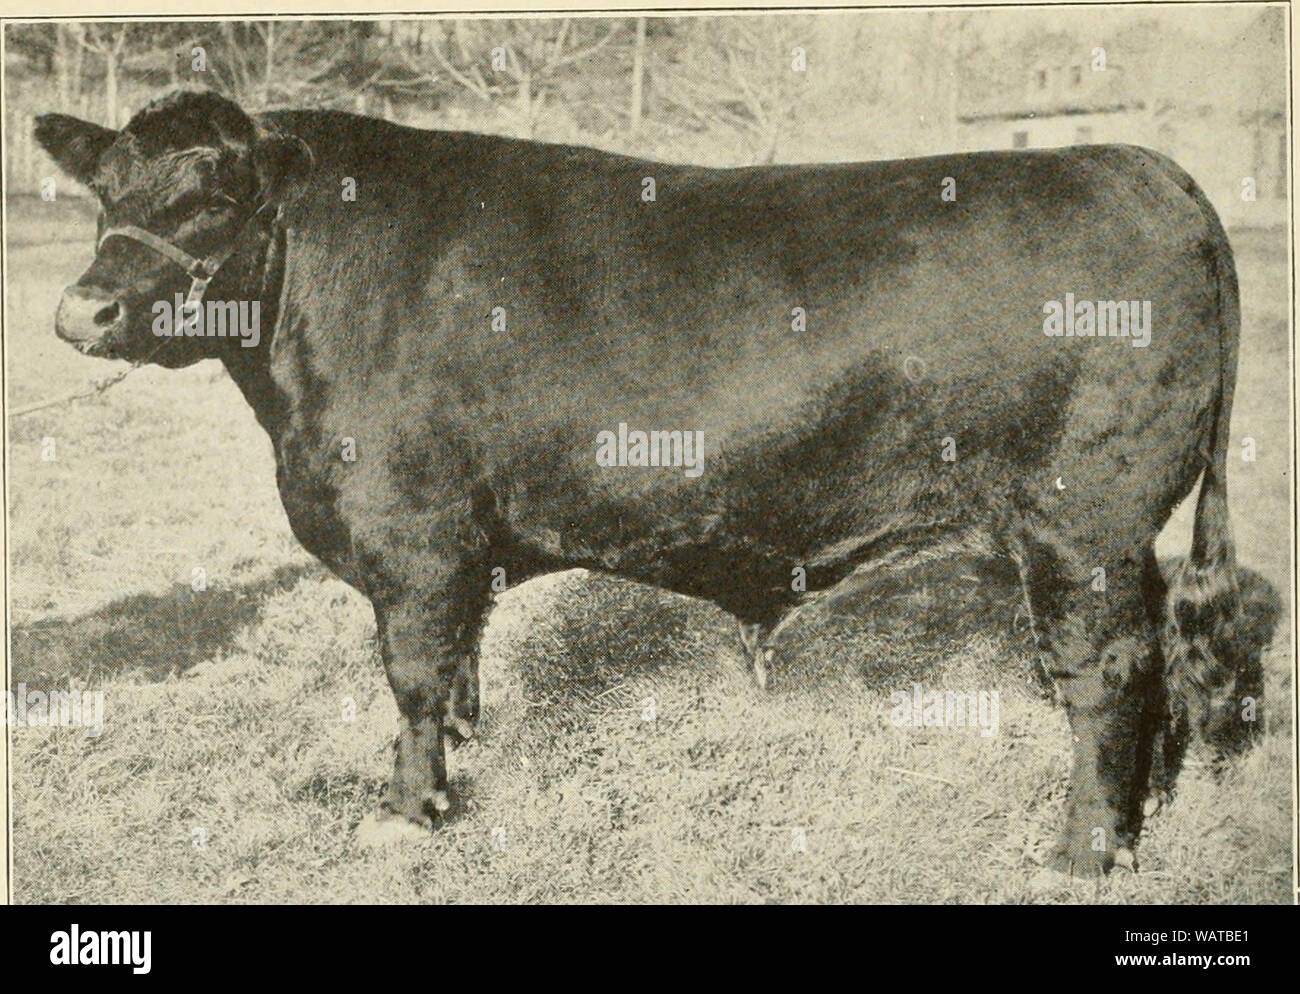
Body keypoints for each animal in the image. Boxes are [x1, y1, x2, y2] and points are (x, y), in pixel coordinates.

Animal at [36, 89, 1255, 875]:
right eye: (104, 194)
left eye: (213, 195)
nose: (80, 313)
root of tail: (1138, 164)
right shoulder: (458, 551)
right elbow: (461, 672)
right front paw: (463, 773)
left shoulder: (414, 537)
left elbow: (414, 679)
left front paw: (407, 813)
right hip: (1113, 535)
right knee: (1150, 661)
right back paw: (1137, 816)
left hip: (1082, 519)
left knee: (1104, 673)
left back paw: (1078, 853)